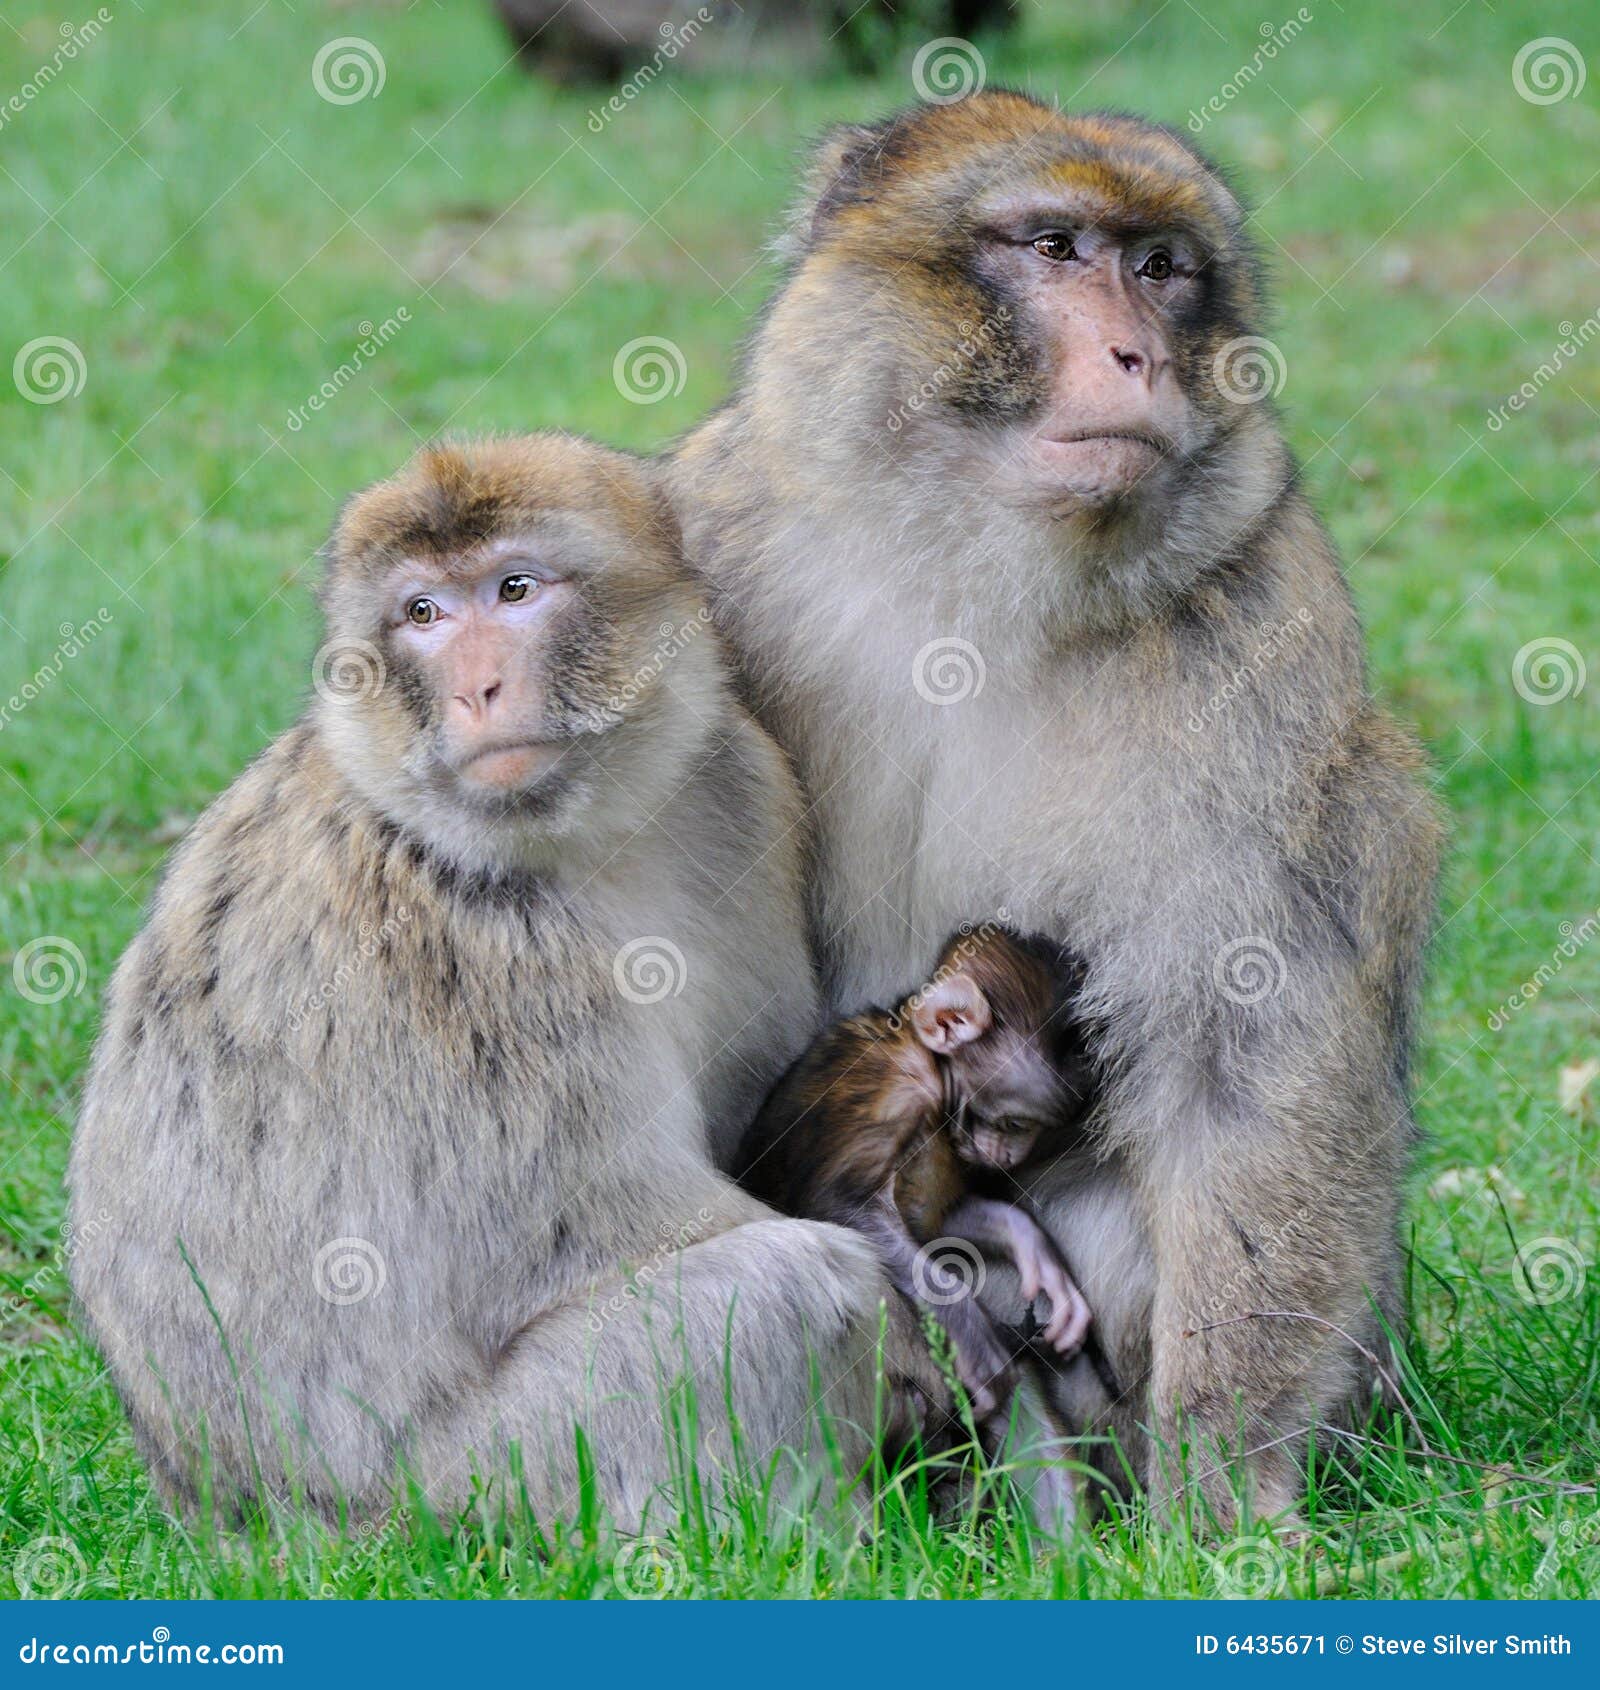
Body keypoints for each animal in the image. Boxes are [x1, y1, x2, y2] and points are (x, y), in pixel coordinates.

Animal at [66, 433, 946, 1531]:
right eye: (423, 614)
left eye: (514, 589)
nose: (477, 687)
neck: (585, 839)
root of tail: (237, 1507)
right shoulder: (492, 957)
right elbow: (591, 1227)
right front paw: (912, 1329)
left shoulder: (742, 793)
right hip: (480, 1483)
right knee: (787, 1293)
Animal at [736, 924, 1099, 1531]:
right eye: (1016, 1122)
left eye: (1033, 1130)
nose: (1009, 1156)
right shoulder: (898, 1090)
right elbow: (841, 1206)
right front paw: (975, 1339)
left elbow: (937, 1222)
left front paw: (1039, 1259)